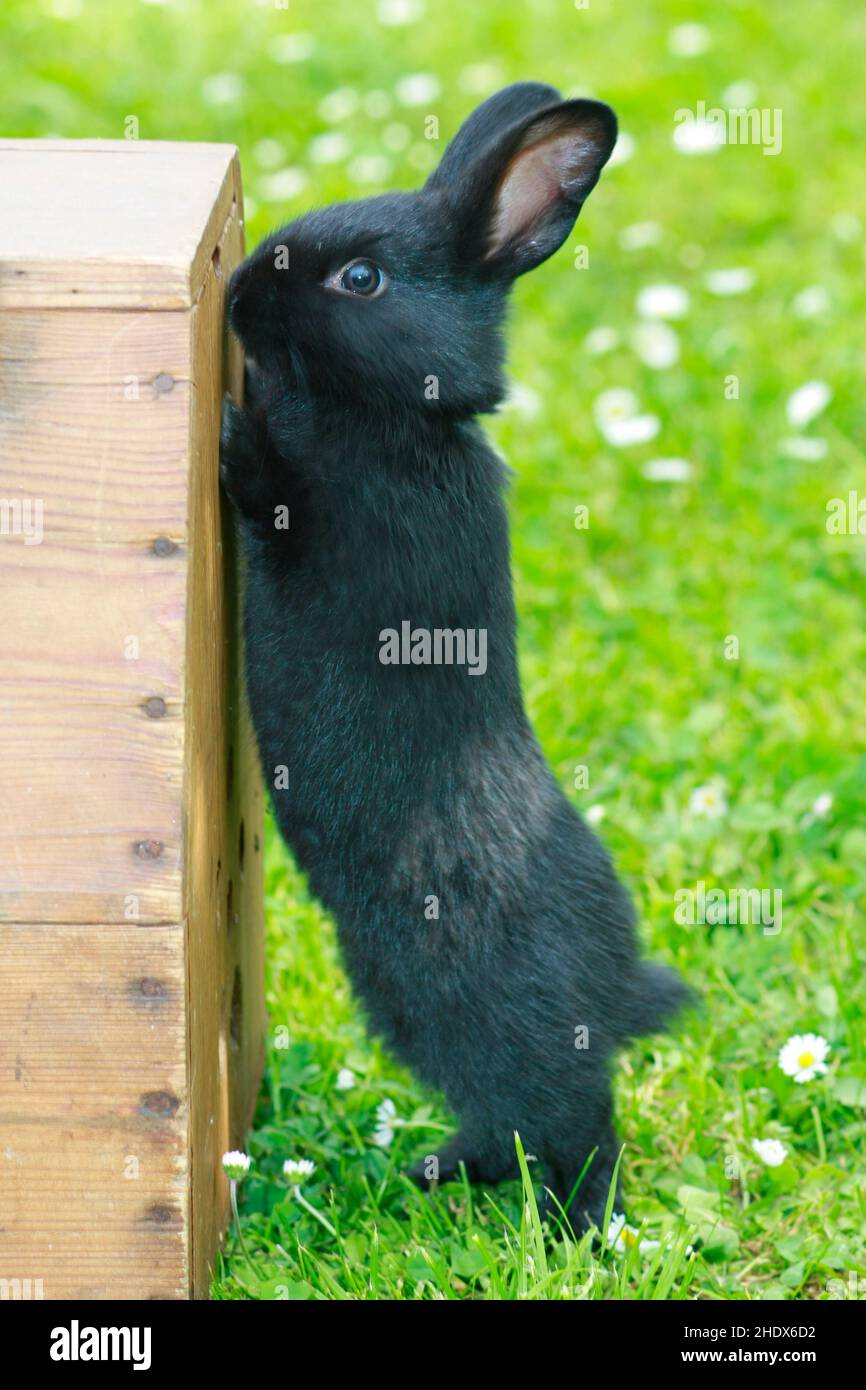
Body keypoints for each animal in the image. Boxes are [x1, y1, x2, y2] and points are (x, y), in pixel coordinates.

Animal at [220, 81, 690, 1233]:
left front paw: (232, 430)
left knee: (572, 1127)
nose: (240, 296)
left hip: (475, 1020)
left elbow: (272, 492)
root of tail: (617, 994)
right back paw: (433, 1173)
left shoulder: (329, 530)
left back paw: (560, 1229)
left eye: (360, 279)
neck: (402, 418)